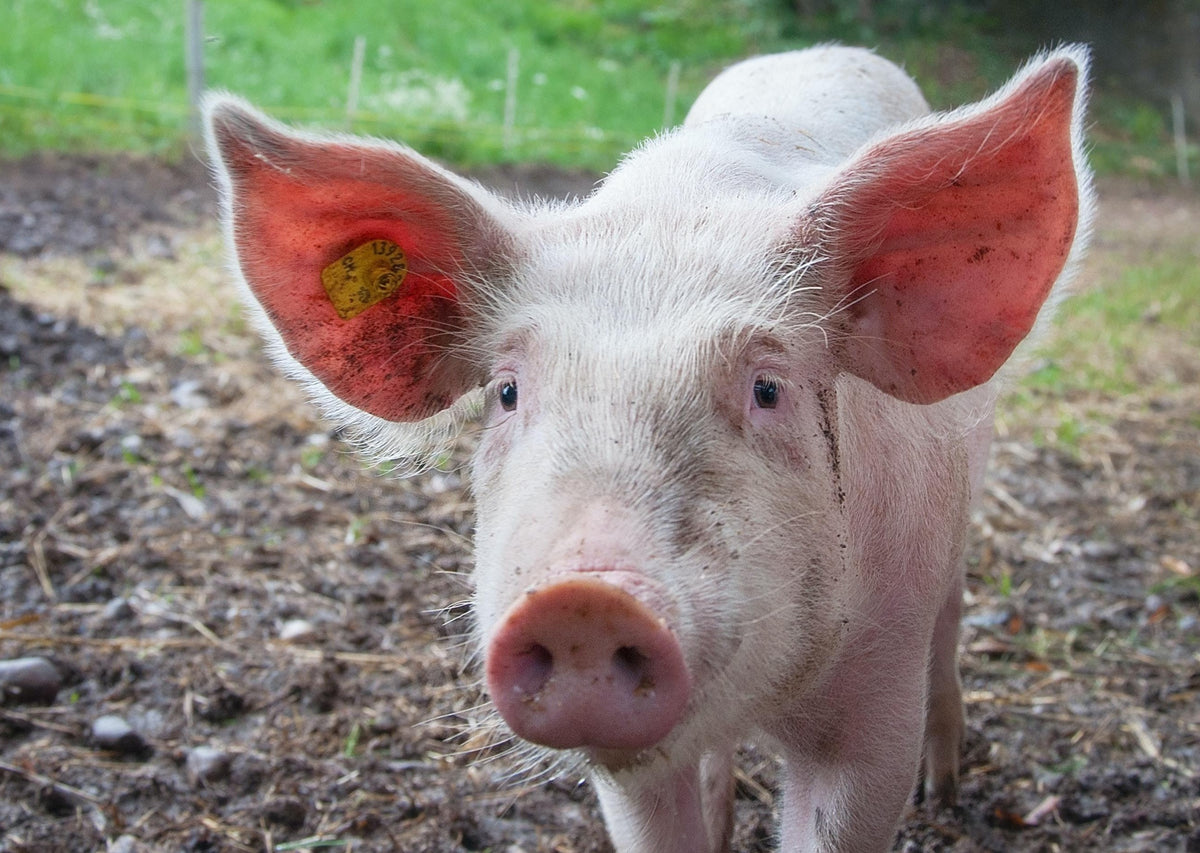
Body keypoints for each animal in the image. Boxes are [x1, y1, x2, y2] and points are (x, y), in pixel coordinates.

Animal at [204, 44, 1092, 852]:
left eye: (768, 388)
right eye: (507, 391)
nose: (583, 601)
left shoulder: (877, 700)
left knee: (952, 619)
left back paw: (947, 789)